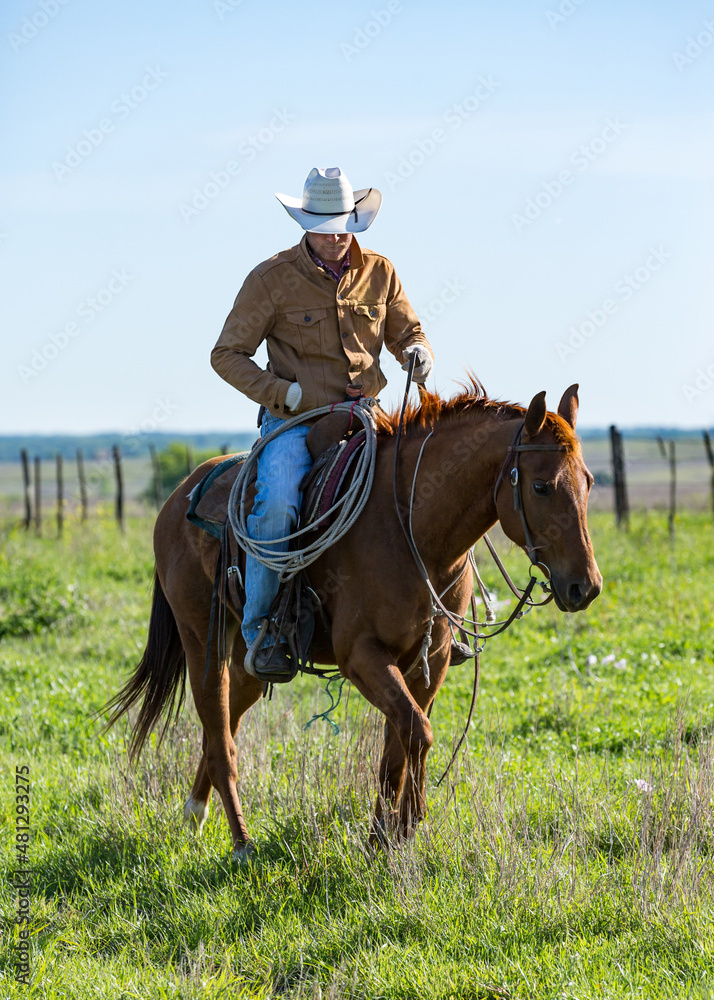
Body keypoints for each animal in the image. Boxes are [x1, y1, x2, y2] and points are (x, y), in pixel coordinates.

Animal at [105, 382, 602, 860]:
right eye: (541, 486)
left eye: (589, 481)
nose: (587, 586)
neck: (411, 526)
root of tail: (178, 497)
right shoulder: (361, 655)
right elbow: (417, 733)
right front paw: (406, 823)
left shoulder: (430, 660)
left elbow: (398, 744)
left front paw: (382, 837)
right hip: (200, 641)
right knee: (219, 734)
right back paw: (241, 842)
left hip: (248, 658)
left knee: (222, 729)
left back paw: (195, 813)